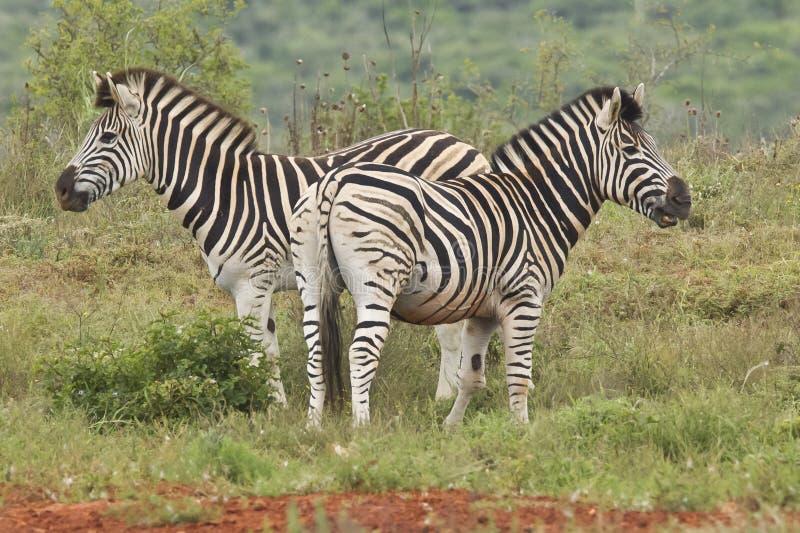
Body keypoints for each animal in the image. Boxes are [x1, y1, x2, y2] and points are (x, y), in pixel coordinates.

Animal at [54, 67, 491, 404]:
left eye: (107, 138)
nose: (60, 190)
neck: (227, 194)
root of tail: (462, 144)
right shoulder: (250, 285)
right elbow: (269, 350)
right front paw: (276, 406)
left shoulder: (251, 282)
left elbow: (253, 351)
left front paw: (257, 409)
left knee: (450, 330)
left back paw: (443, 399)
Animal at [290, 84, 691, 426]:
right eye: (630, 151)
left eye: (655, 145)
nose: (684, 199)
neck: (536, 207)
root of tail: (335, 180)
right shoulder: (524, 299)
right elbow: (518, 374)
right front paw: (521, 430)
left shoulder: (481, 311)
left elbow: (472, 376)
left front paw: (451, 427)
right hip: (377, 283)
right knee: (361, 353)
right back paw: (362, 428)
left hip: (311, 280)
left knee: (316, 351)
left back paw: (313, 426)